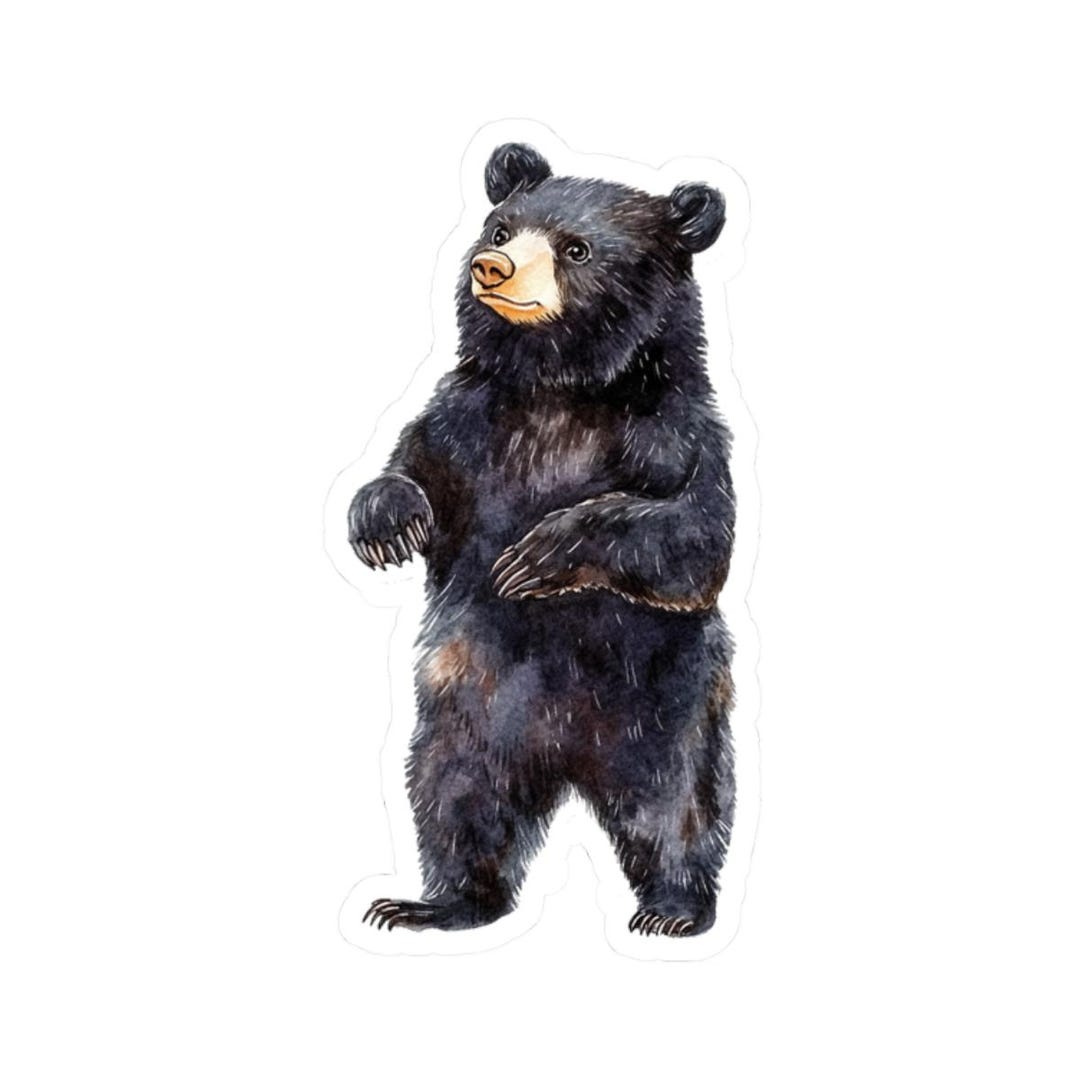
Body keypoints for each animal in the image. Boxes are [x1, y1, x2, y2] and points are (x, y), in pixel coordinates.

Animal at [348, 143, 736, 938]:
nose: (492, 267)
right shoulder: (469, 419)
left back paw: (675, 909)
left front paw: (537, 555)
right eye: (500, 226)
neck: (560, 387)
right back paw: (437, 902)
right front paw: (386, 523)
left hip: (667, 705)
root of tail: (570, 761)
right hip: (473, 706)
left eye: (577, 248)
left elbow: (694, 537)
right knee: (456, 793)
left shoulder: (676, 431)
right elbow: (414, 466)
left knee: (679, 802)